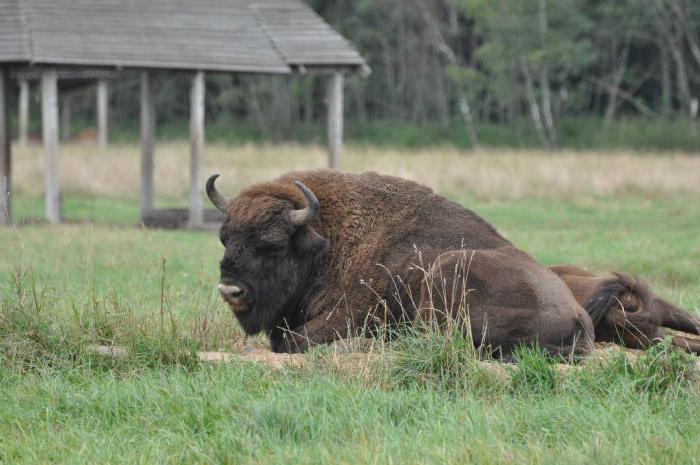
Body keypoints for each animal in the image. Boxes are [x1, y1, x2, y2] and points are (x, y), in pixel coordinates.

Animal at [209, 170, 596, 356]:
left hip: (445, 271)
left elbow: (289, 341)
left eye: (272, 244)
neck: (328, 240)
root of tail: (578, 314)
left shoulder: (344, 317)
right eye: (225, 238)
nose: (230, 290)